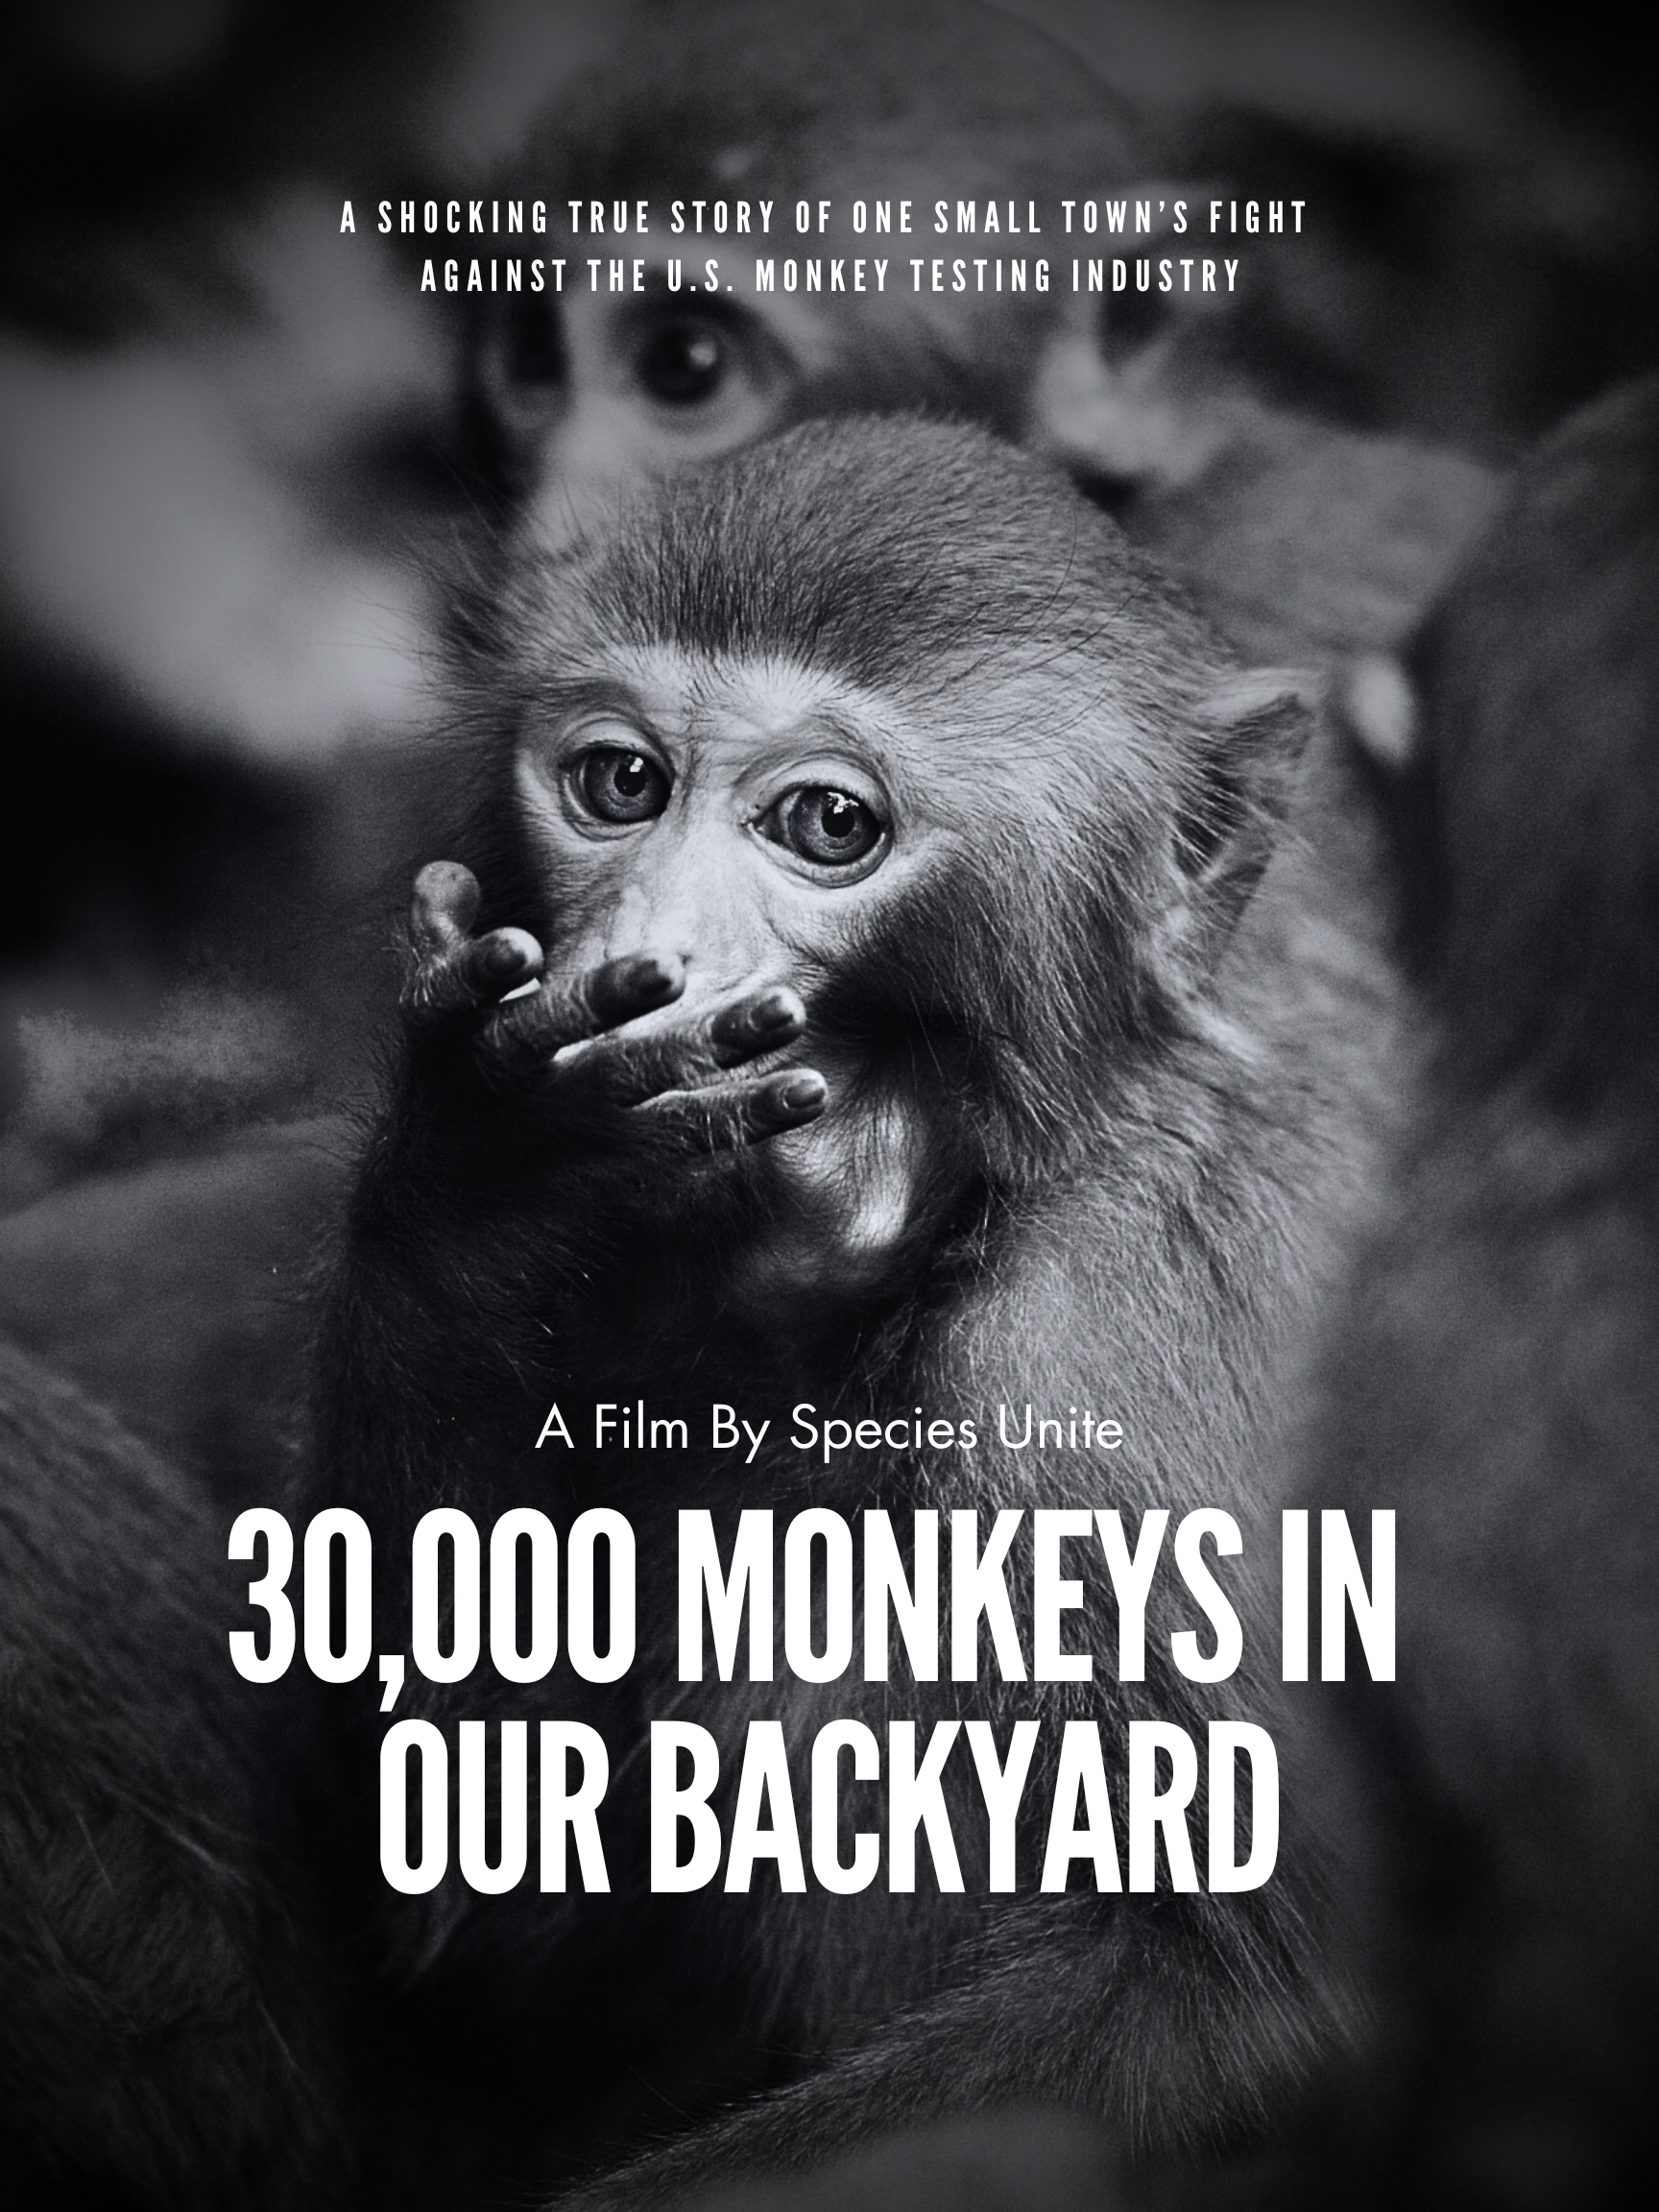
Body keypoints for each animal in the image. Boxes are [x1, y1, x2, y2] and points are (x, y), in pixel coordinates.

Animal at [285, 414, 1402, 2210]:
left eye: (824, 824)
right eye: (618, 785)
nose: (649, 956)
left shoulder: (1103, 1356)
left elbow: (1253, 2010)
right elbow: (489, 1926)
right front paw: (489, 1166)